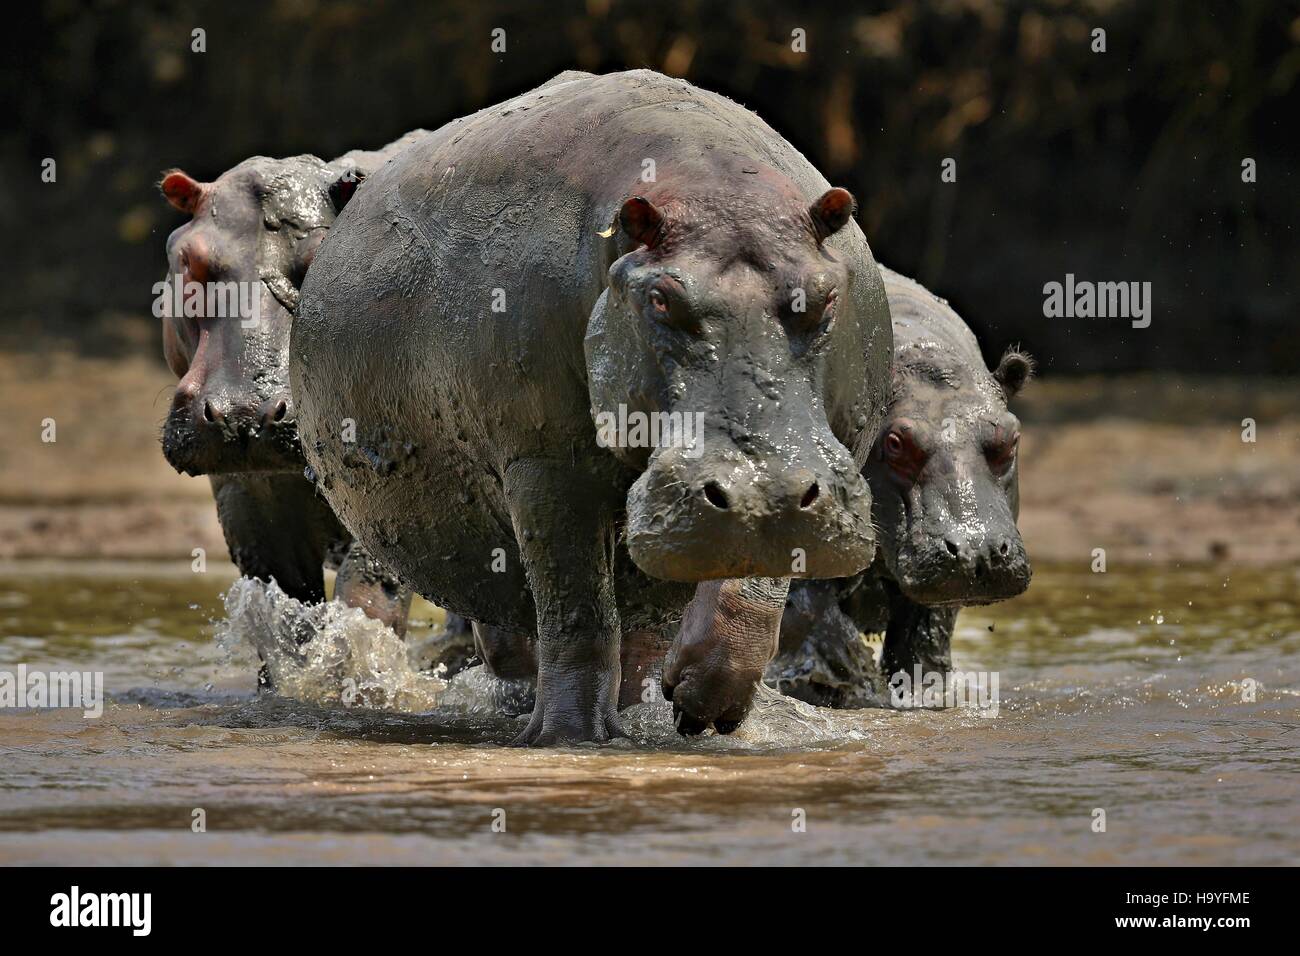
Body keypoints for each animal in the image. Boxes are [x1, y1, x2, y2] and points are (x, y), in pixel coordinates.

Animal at [157, 132, 430, 655]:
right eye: (189, 260)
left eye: (328, 255)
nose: (242, 412)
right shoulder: (252, 503)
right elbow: (284, 616)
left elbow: (368, 600)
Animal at [292, 70, 893, 744]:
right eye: (660, 297)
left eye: (825, 294)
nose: (763, 491)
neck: (716, 190)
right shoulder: (545, 464)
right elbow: (576, 609)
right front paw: (570, 738)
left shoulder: (796, 479)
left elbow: (753, 586)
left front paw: (699, 705)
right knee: (535, 624)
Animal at [661, 266, 1034, 728]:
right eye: (895, 442)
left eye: (1010, 436)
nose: (977, 551)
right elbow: (808, 611)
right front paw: (842, 673)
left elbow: (923, 648)